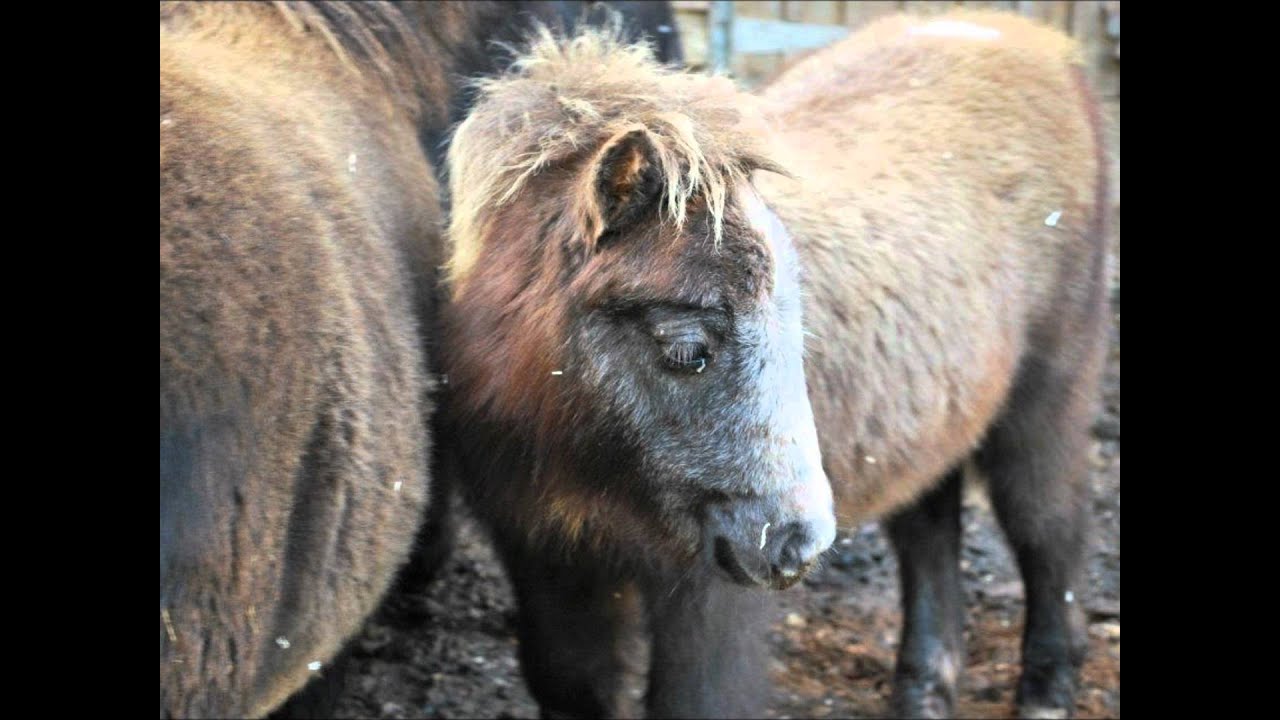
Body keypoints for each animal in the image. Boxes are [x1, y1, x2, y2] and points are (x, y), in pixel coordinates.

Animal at [439, 10, 1108, 719]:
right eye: (687, 349)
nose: (797, 544)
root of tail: (1030, 41)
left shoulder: (707, 598)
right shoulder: (548, 566)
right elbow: (574, 682)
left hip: (1043, 409)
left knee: (1051, 533)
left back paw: (1045, 693)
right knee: (931, 535)